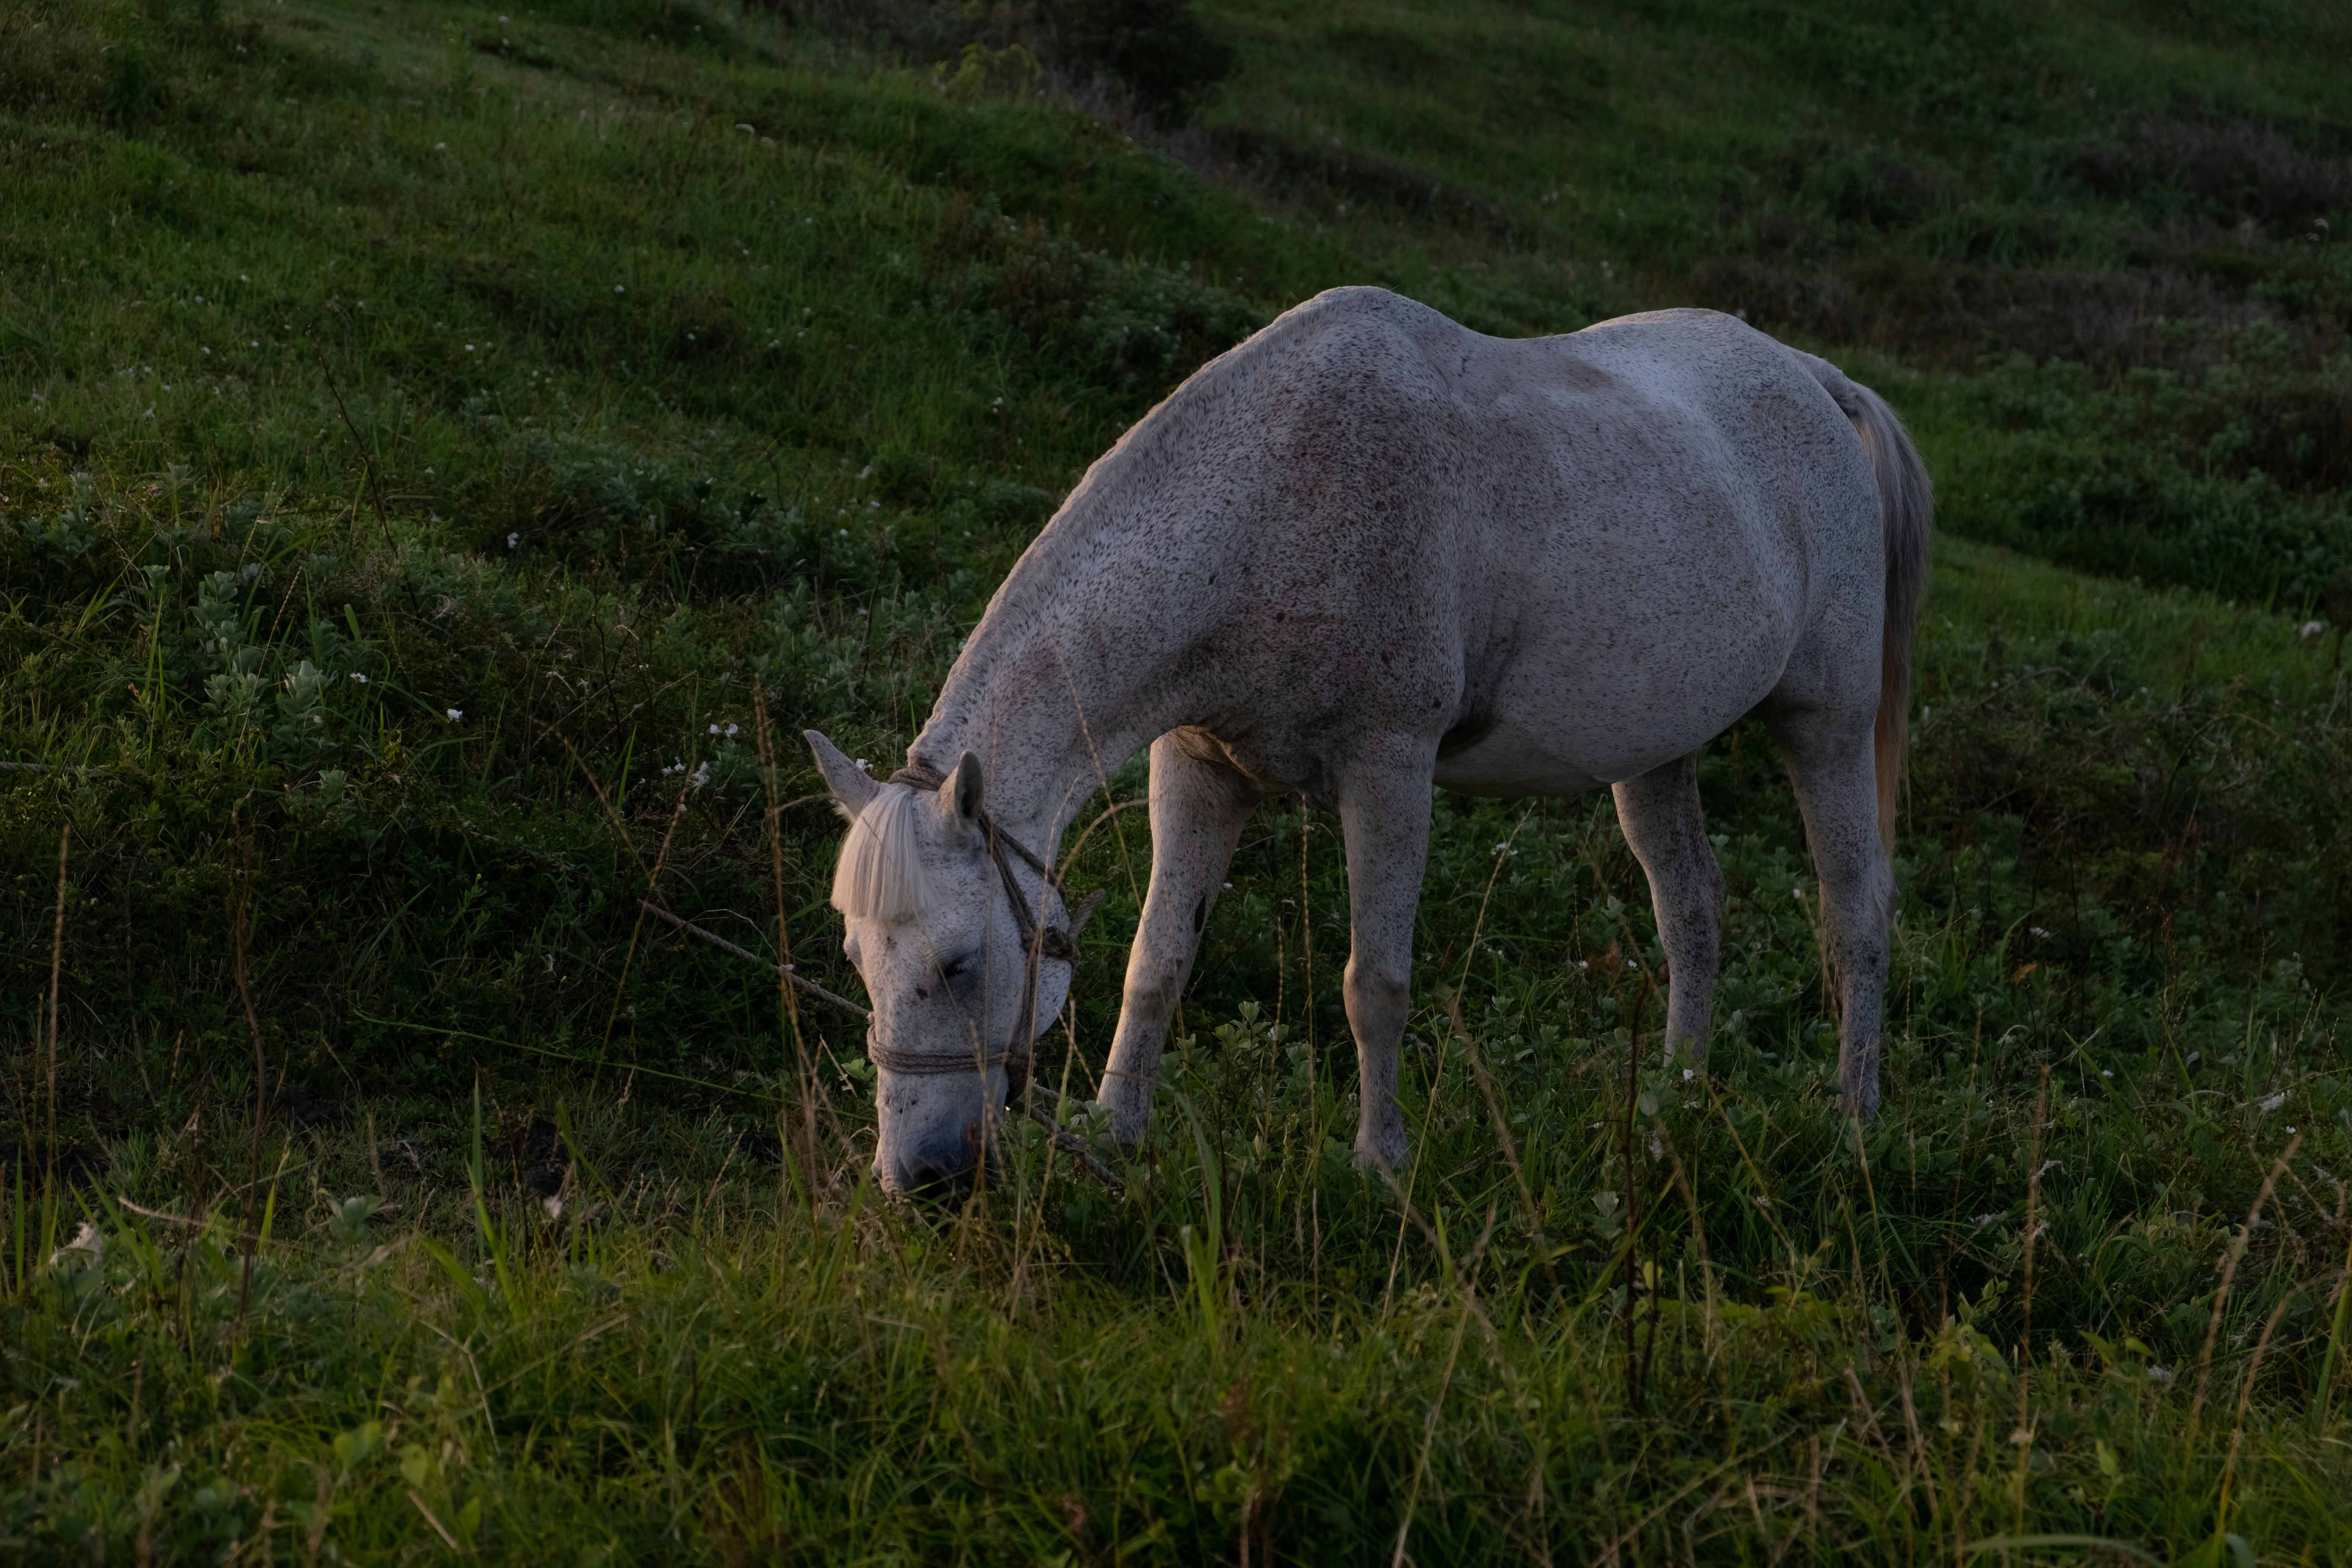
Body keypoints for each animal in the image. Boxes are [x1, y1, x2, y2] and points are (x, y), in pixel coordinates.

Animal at [804, 285, 1930, 1197]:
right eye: (856, 957)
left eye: (958, 964)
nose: (916, 1179)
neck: (1272, 503)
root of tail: (1819, 382)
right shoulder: (1198, 768)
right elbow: (1157, 960)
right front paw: (1118, 1132)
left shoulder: (1388, 769)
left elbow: (1372, 984)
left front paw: (1379, 1162)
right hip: (1656, 749)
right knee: (1692, 910)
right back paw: (1674, 1100)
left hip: (1826, 724)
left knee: (1855, 912)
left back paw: (1854, 1118)